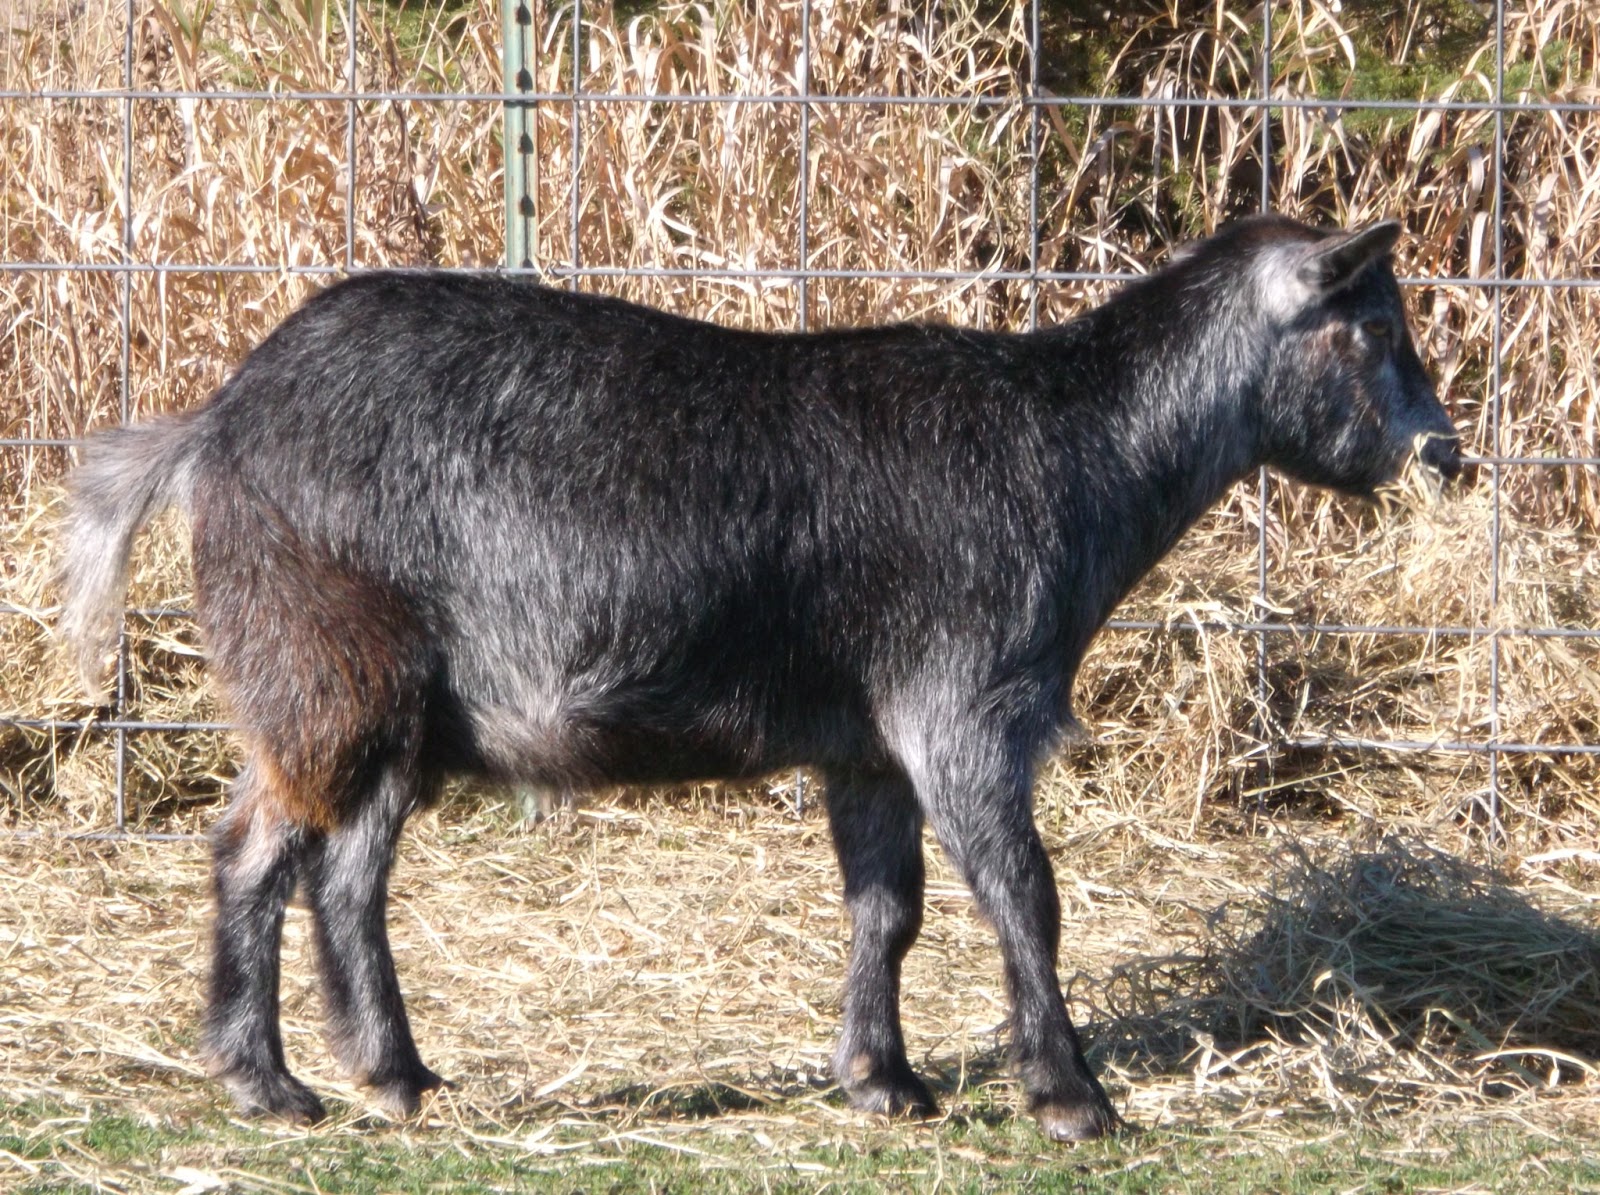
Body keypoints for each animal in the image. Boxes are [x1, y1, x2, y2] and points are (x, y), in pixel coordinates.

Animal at [59, 215, 1461, 1140]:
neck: (1076, 441)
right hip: (328, 665)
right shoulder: (962, 705)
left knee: (345, 871)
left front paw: (885, 1081)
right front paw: (1071, 1096)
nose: (1444, 452)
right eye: (1375, 325)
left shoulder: (868, 743)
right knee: (256, 849)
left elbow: (886, 908)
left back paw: (392, 1073)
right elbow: (1024, 893)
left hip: (395, 709)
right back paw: (270, 1082)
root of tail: (218, 422)